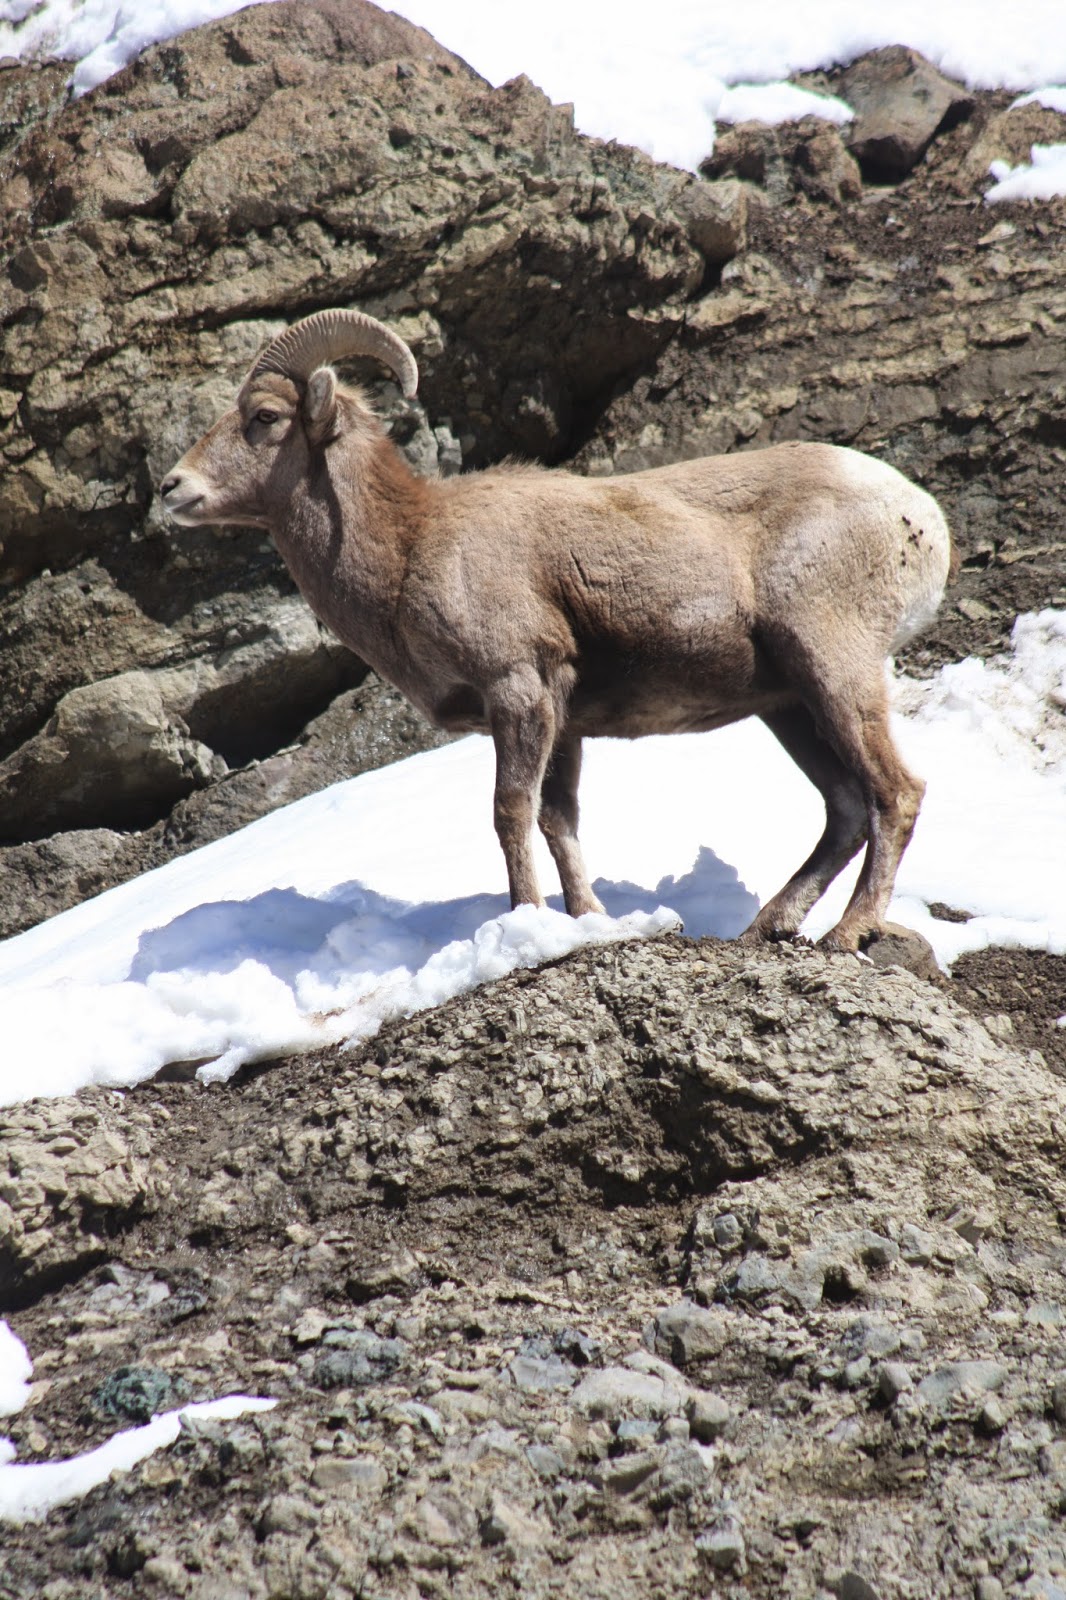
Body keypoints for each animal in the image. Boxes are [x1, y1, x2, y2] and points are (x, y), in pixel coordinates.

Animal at [160, 309, 951, 952]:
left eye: (264, 417)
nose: (172, 488)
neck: (410, 548)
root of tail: (917, 514)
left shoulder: (518, 689)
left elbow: (511, 812)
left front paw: (525, 921)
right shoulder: (562, 720)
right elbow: (558, 821)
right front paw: (587, 921)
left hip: (833, 668)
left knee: (896, 793)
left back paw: (849, 933)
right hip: (787, 705)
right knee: (845, 807)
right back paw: (766, 928)